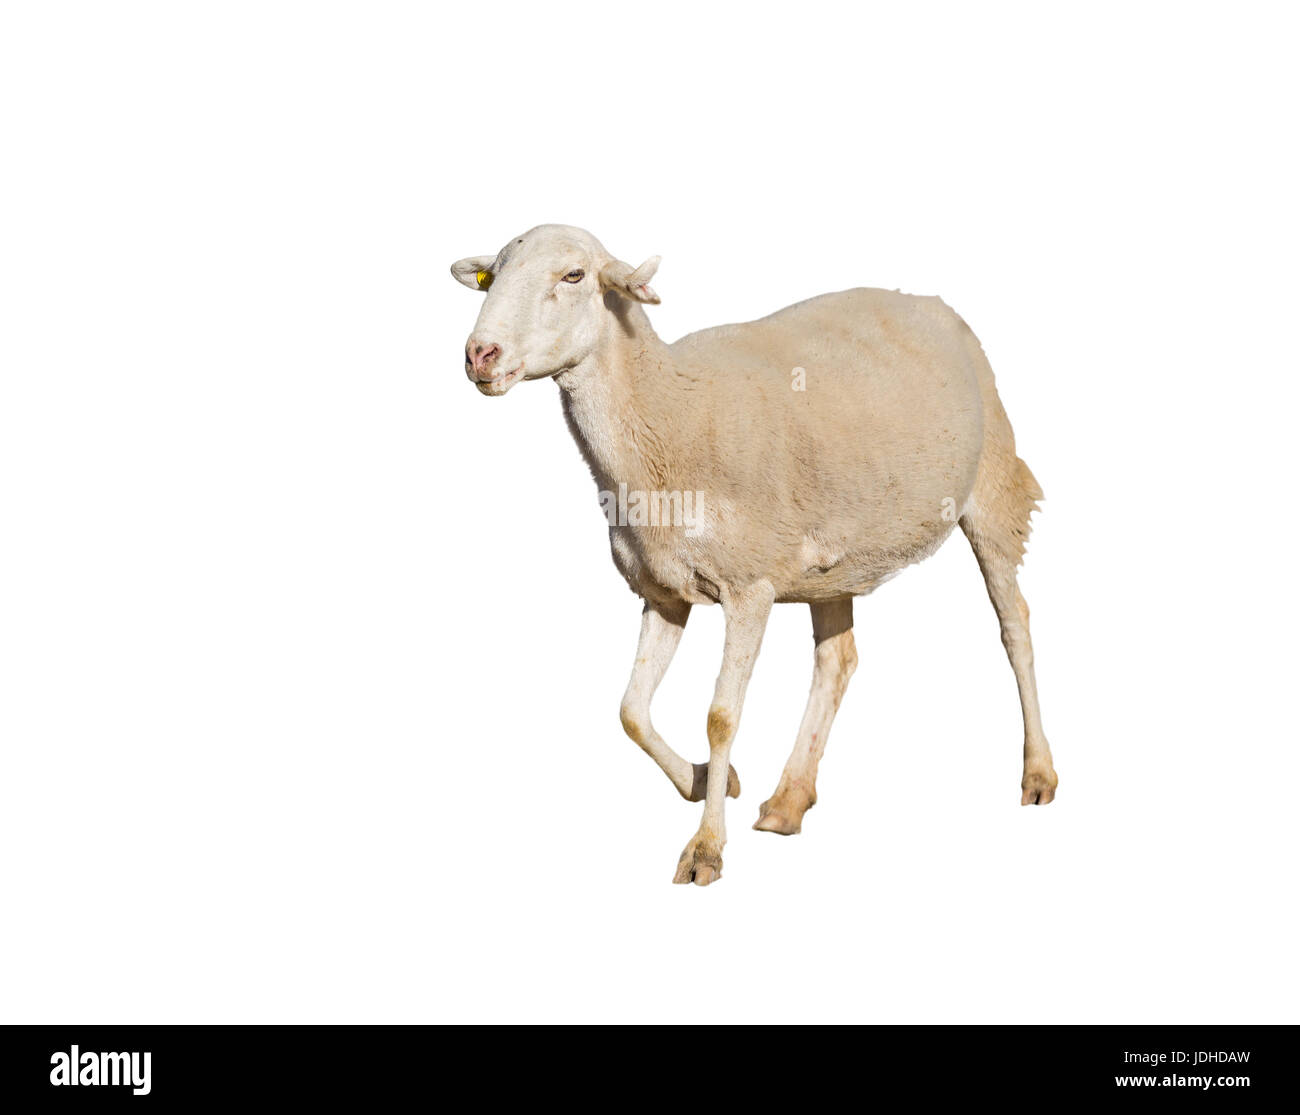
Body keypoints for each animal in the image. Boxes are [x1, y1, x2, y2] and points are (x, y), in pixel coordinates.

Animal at [451, 224, 1057, 886]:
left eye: (574, 276)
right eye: (492, 274)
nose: (479, 355)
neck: (666, 410)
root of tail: (930, 300)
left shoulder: (750, 587)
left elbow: (720, 716)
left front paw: (705, 848)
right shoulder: (663, 590)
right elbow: (631, 709)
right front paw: (702, 782)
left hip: (992, 481)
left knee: (1014, 626)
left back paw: (1037, 774)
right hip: (833, 559)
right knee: (837, 661)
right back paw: (789, 800)